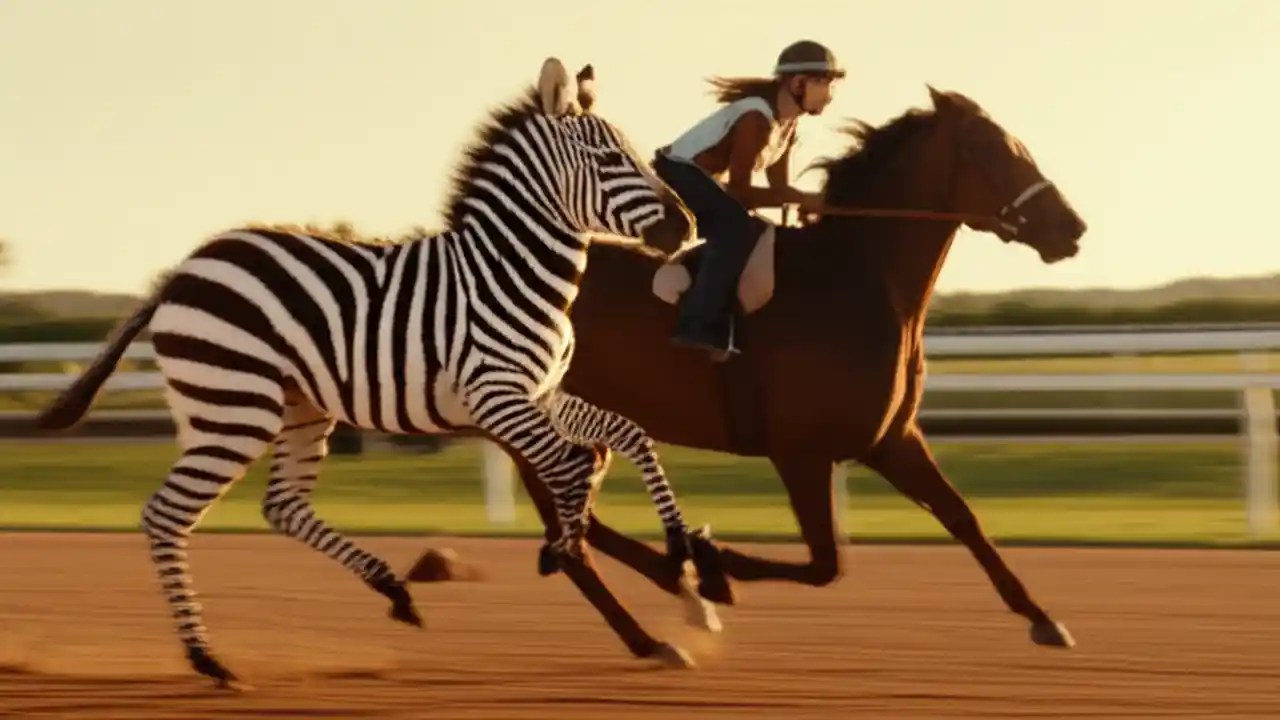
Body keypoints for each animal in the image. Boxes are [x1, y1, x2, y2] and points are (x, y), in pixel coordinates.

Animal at [34, 57, 716, 686]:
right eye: (607, 157)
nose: (686, 227)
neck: (509, 274)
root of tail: (183, 269)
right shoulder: (496, 397)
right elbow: (577, 466)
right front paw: (568, 551)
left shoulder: (540, 393)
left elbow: (626, 438)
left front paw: (678, 553)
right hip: (235, 409)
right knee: (167, 515)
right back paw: (209, 660)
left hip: (300, 407)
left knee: (283, 507)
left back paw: (393, 589)